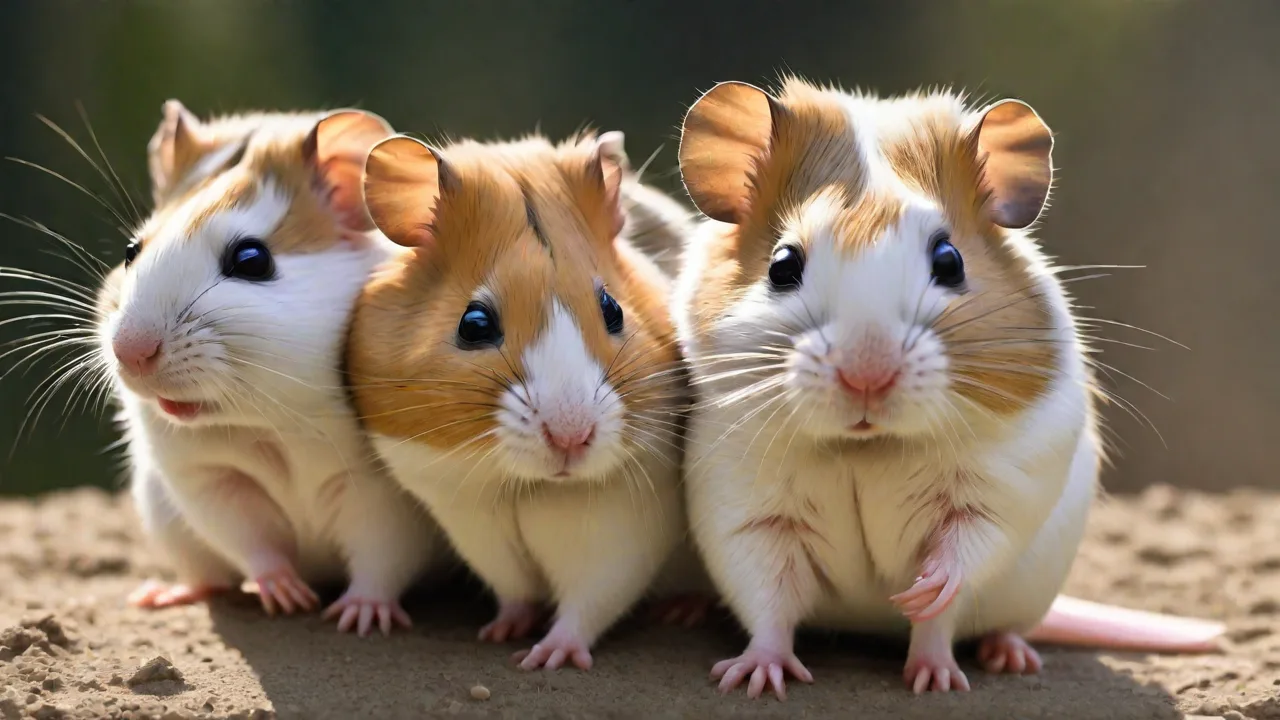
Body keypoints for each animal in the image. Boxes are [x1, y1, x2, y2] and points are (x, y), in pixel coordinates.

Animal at [107, 101, 445, 636]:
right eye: (130, 251)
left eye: (251, 259)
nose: (130, 352)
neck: (277, 420)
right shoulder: (211, 481)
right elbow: (252, 544)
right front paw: (287, 595)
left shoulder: (384, 497)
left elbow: (381, 562)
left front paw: (359, 616)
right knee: (209, 574)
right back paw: (166, 593)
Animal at [349, 130, 688, 670]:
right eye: (474, 324)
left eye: (613, 309)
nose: (571, 437)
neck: (524, 484)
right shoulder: (474, 527)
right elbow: (515, 593)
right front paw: (500, 633)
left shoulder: (620, 532)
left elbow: (587, 606)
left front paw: (546, 658)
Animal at [672, 78, 1223, 698]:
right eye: (783, 265)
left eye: (949, 260)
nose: (867, 375)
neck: (867, 447)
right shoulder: (748, 514)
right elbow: (768, 603)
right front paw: (753, 677)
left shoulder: (995, 497)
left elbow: (953, 581)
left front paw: (928, 649)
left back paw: (1006, 656)